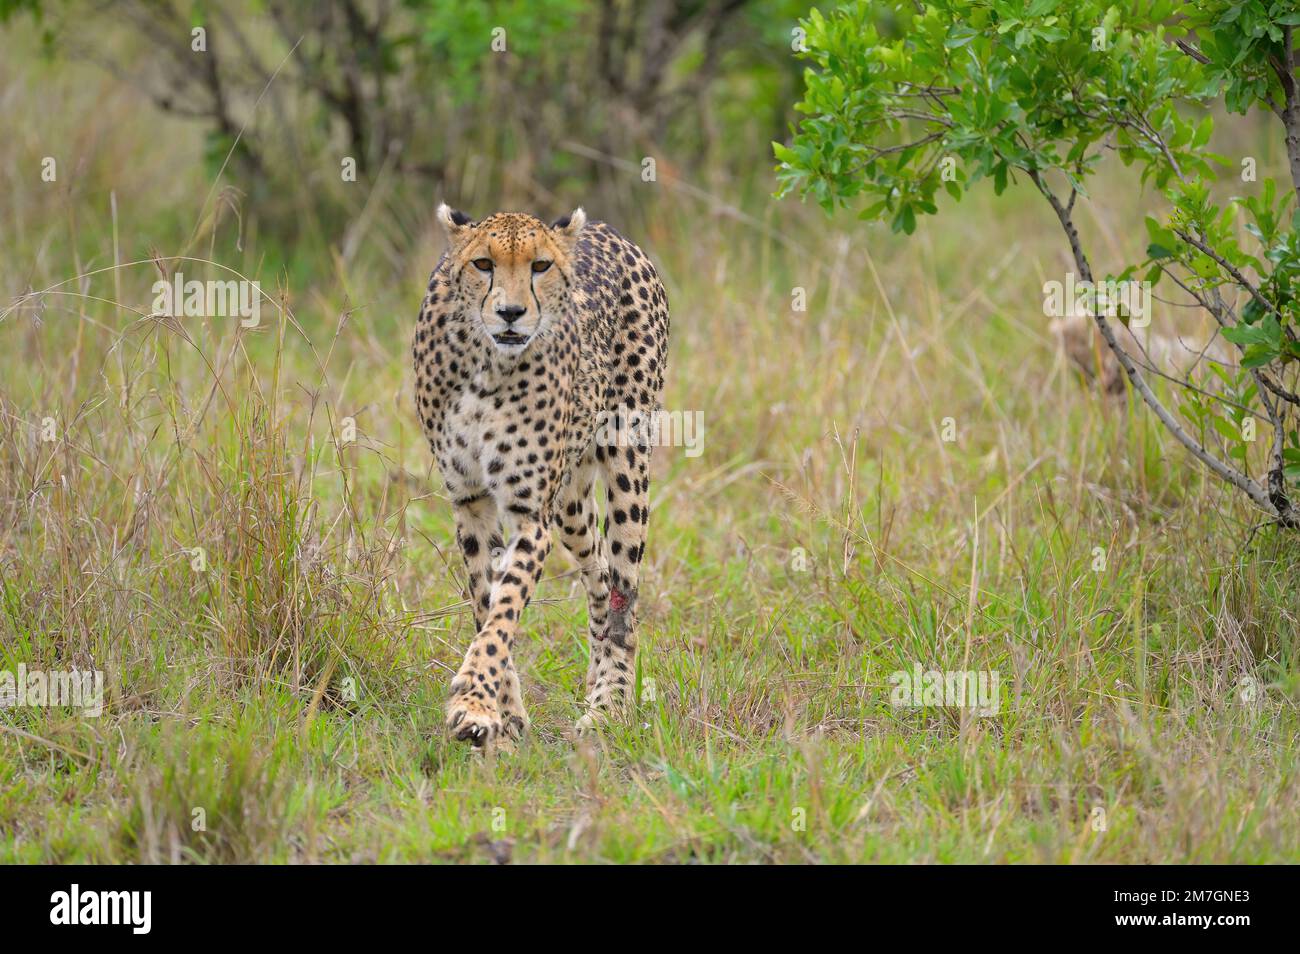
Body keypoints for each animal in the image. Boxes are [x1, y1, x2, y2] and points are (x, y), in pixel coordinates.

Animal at [412, 203, 669, 747]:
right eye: (483, 264)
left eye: (540, 266)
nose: (511, 313)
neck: (487, 364)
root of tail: (609, 231)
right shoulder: (470, 503)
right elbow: (487, 603)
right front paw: (502, 719)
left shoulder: (530, 515)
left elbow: (504, 611)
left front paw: (473, 701)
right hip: (569, 504)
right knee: (598, 572)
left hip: (625, 460)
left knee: (624, 589)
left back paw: (610, 704)